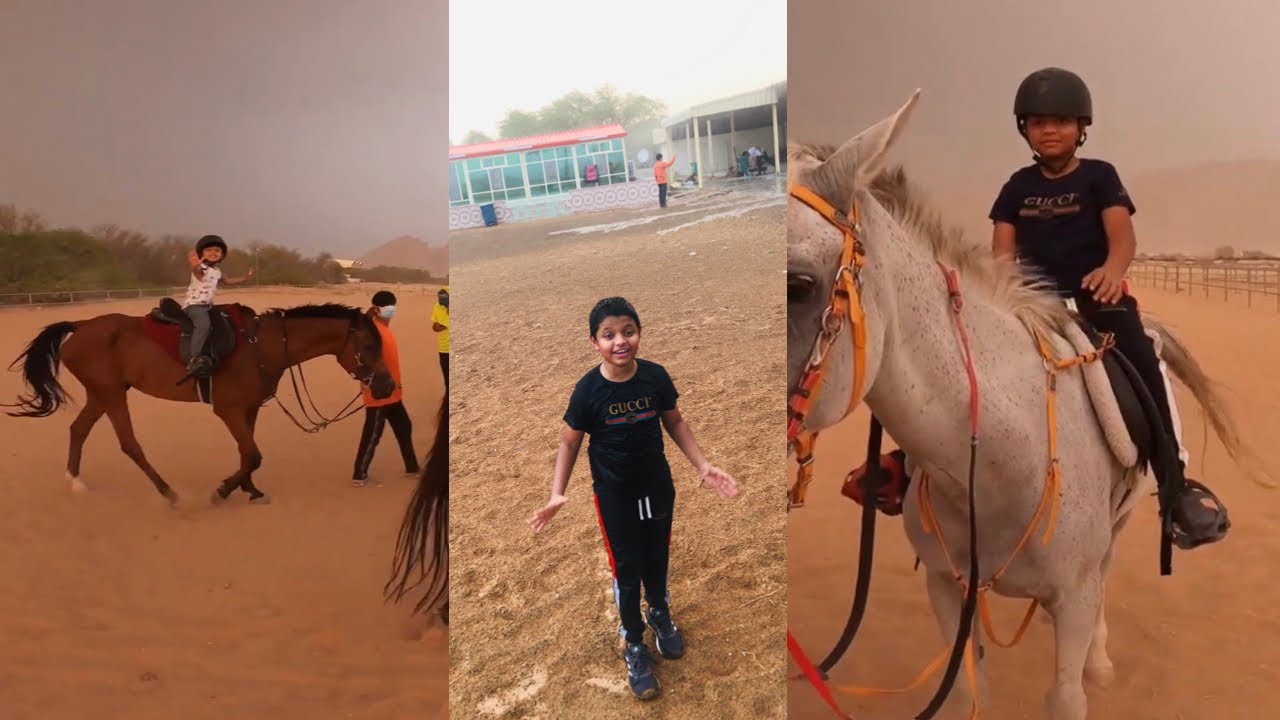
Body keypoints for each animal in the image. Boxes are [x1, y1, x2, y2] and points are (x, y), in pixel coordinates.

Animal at [4, 299, 396, 506]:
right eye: (368, 346)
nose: (387, 385)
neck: (261, 346)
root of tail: (81, 325)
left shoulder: (249, 409)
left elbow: (248, 454)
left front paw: (249, 489)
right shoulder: (229, 409)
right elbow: (252, 454)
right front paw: (222, 490)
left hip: (103, 392)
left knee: (78, 429)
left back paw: (75, 482)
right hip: (111, 393)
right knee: (129, 444)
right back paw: (169, 493)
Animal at [785, 90, 1265, 719]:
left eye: (797, 284)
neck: (996, 460)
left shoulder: (1074, 596)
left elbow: (1066, 694)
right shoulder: (945, 587)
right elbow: (971, 693)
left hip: (1123, 521)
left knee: (1108, 575)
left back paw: (1100, 659)